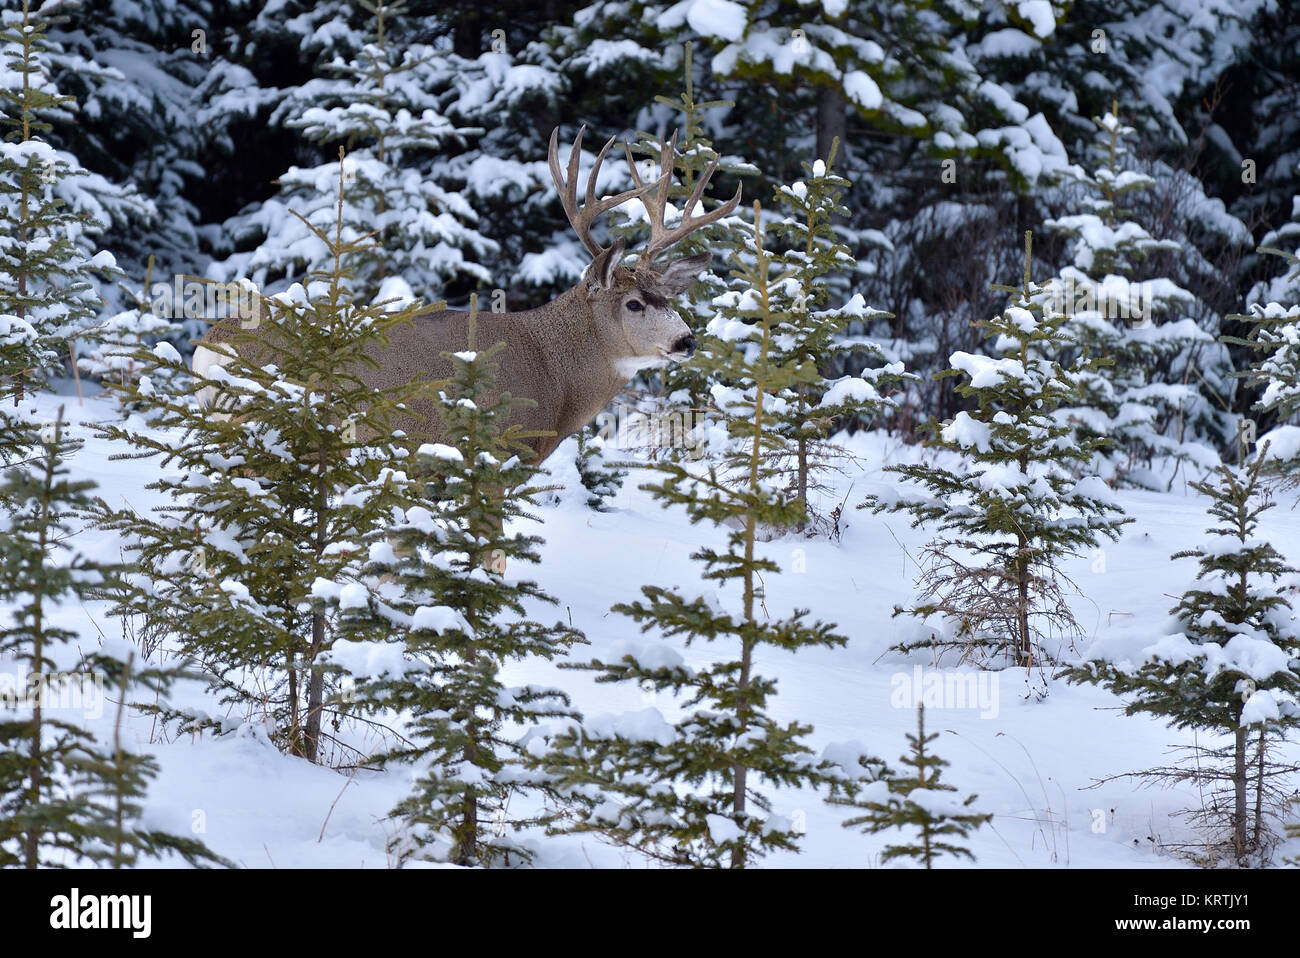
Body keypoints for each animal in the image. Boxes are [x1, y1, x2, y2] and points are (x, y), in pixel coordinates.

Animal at [192, 125, 741, 568]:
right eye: (633, 303)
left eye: (669, 297)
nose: (687, 340)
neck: (551, 372)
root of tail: (211, 343)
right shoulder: (492, 457)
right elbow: (491, 561)